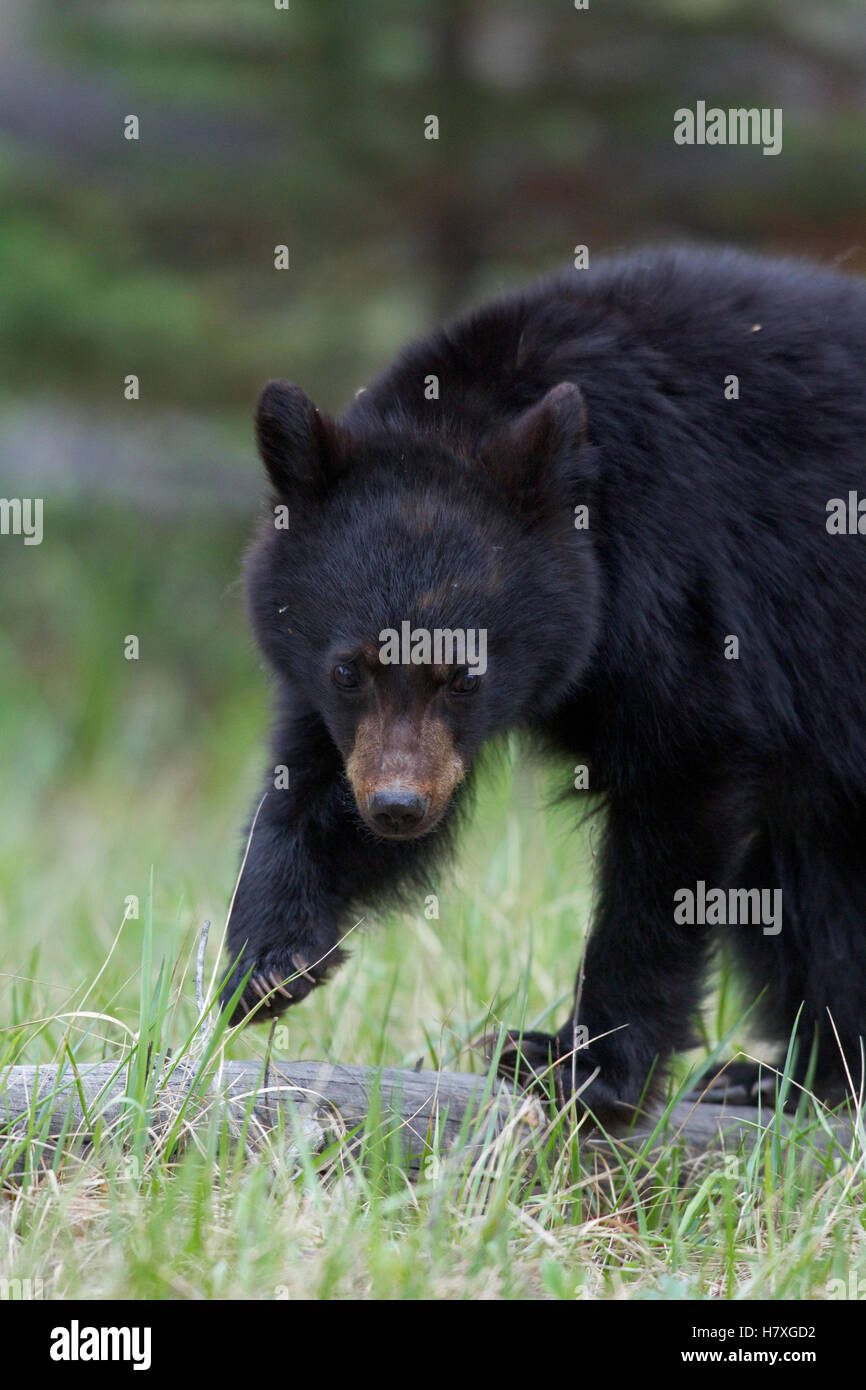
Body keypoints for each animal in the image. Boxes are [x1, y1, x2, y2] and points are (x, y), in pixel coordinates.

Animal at [223, 246, 866, 1116]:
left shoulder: (680, 585)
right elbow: (311, 775)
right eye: (349, 669)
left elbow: (678, 795)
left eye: (464, 675)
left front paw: (579, 1065)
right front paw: (269, 957)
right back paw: (783, 1078)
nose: (397, 808)